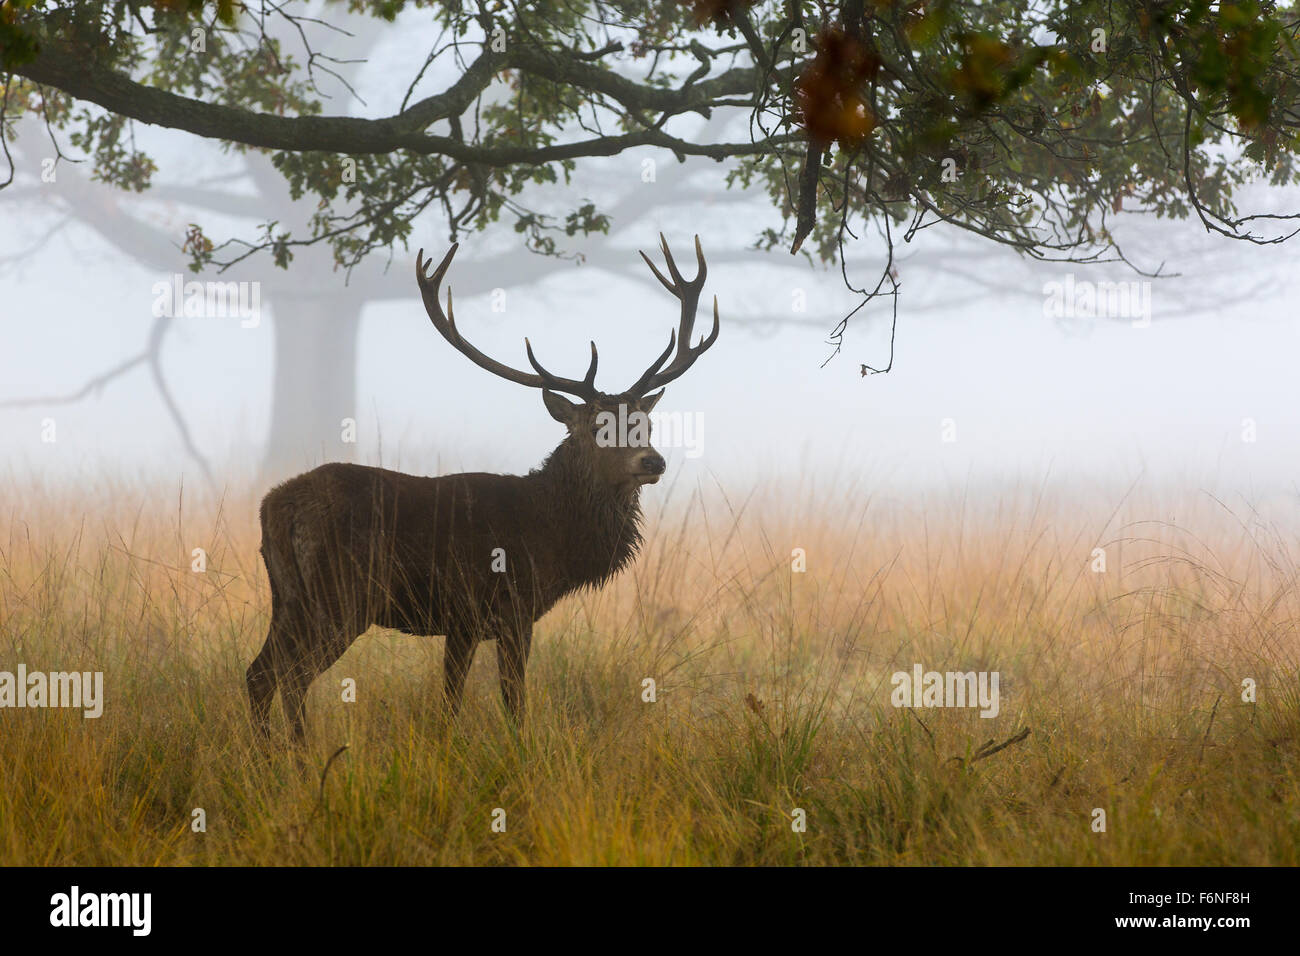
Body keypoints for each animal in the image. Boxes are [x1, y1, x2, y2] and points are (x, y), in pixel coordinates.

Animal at [246, 235, 719, 741]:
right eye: (598, 426)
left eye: (645, 423)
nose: (653, 461)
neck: (552, 537)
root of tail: (273, 507)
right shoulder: (500, 609)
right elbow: (505, 702)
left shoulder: (470, 622)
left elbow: (454, 702)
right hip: (340, 595)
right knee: (292, 677)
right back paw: (301, 752)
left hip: (287, 597)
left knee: (259, 673)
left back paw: (269, 752)